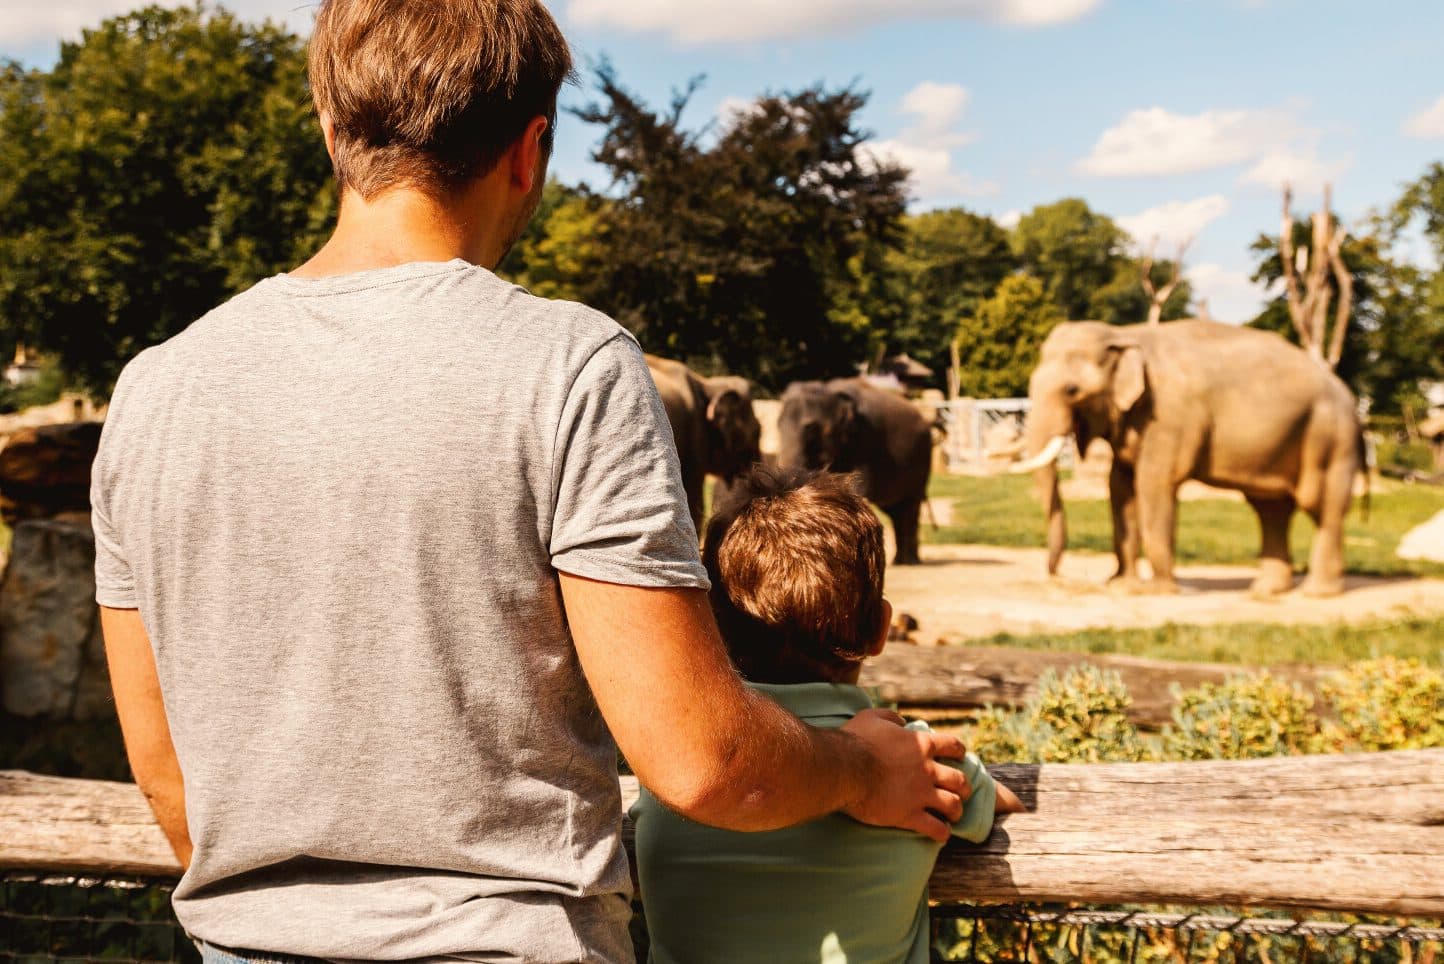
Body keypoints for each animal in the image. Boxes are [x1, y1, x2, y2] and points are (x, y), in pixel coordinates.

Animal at [777, 377, 933, 565]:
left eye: (811, 428)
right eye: (777, 425)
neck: (830, 389)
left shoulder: (867, 441)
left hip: (921, 462)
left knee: (910, 508)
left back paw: (909, 562)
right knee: (896, 511)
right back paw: (899, 561)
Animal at [1015, 319, 1366, 597]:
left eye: (1072, 390)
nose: (1056, 575)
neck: (1124, 333)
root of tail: (1349, 396)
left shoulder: (1169, 416)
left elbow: (1153, 483)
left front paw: (1157, 591)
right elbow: (1120, 487)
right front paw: (1121, 584)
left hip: (1329, 438)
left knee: (1322, 506)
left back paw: (1317, 593)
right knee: (1271, 509)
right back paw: (1266, 590)